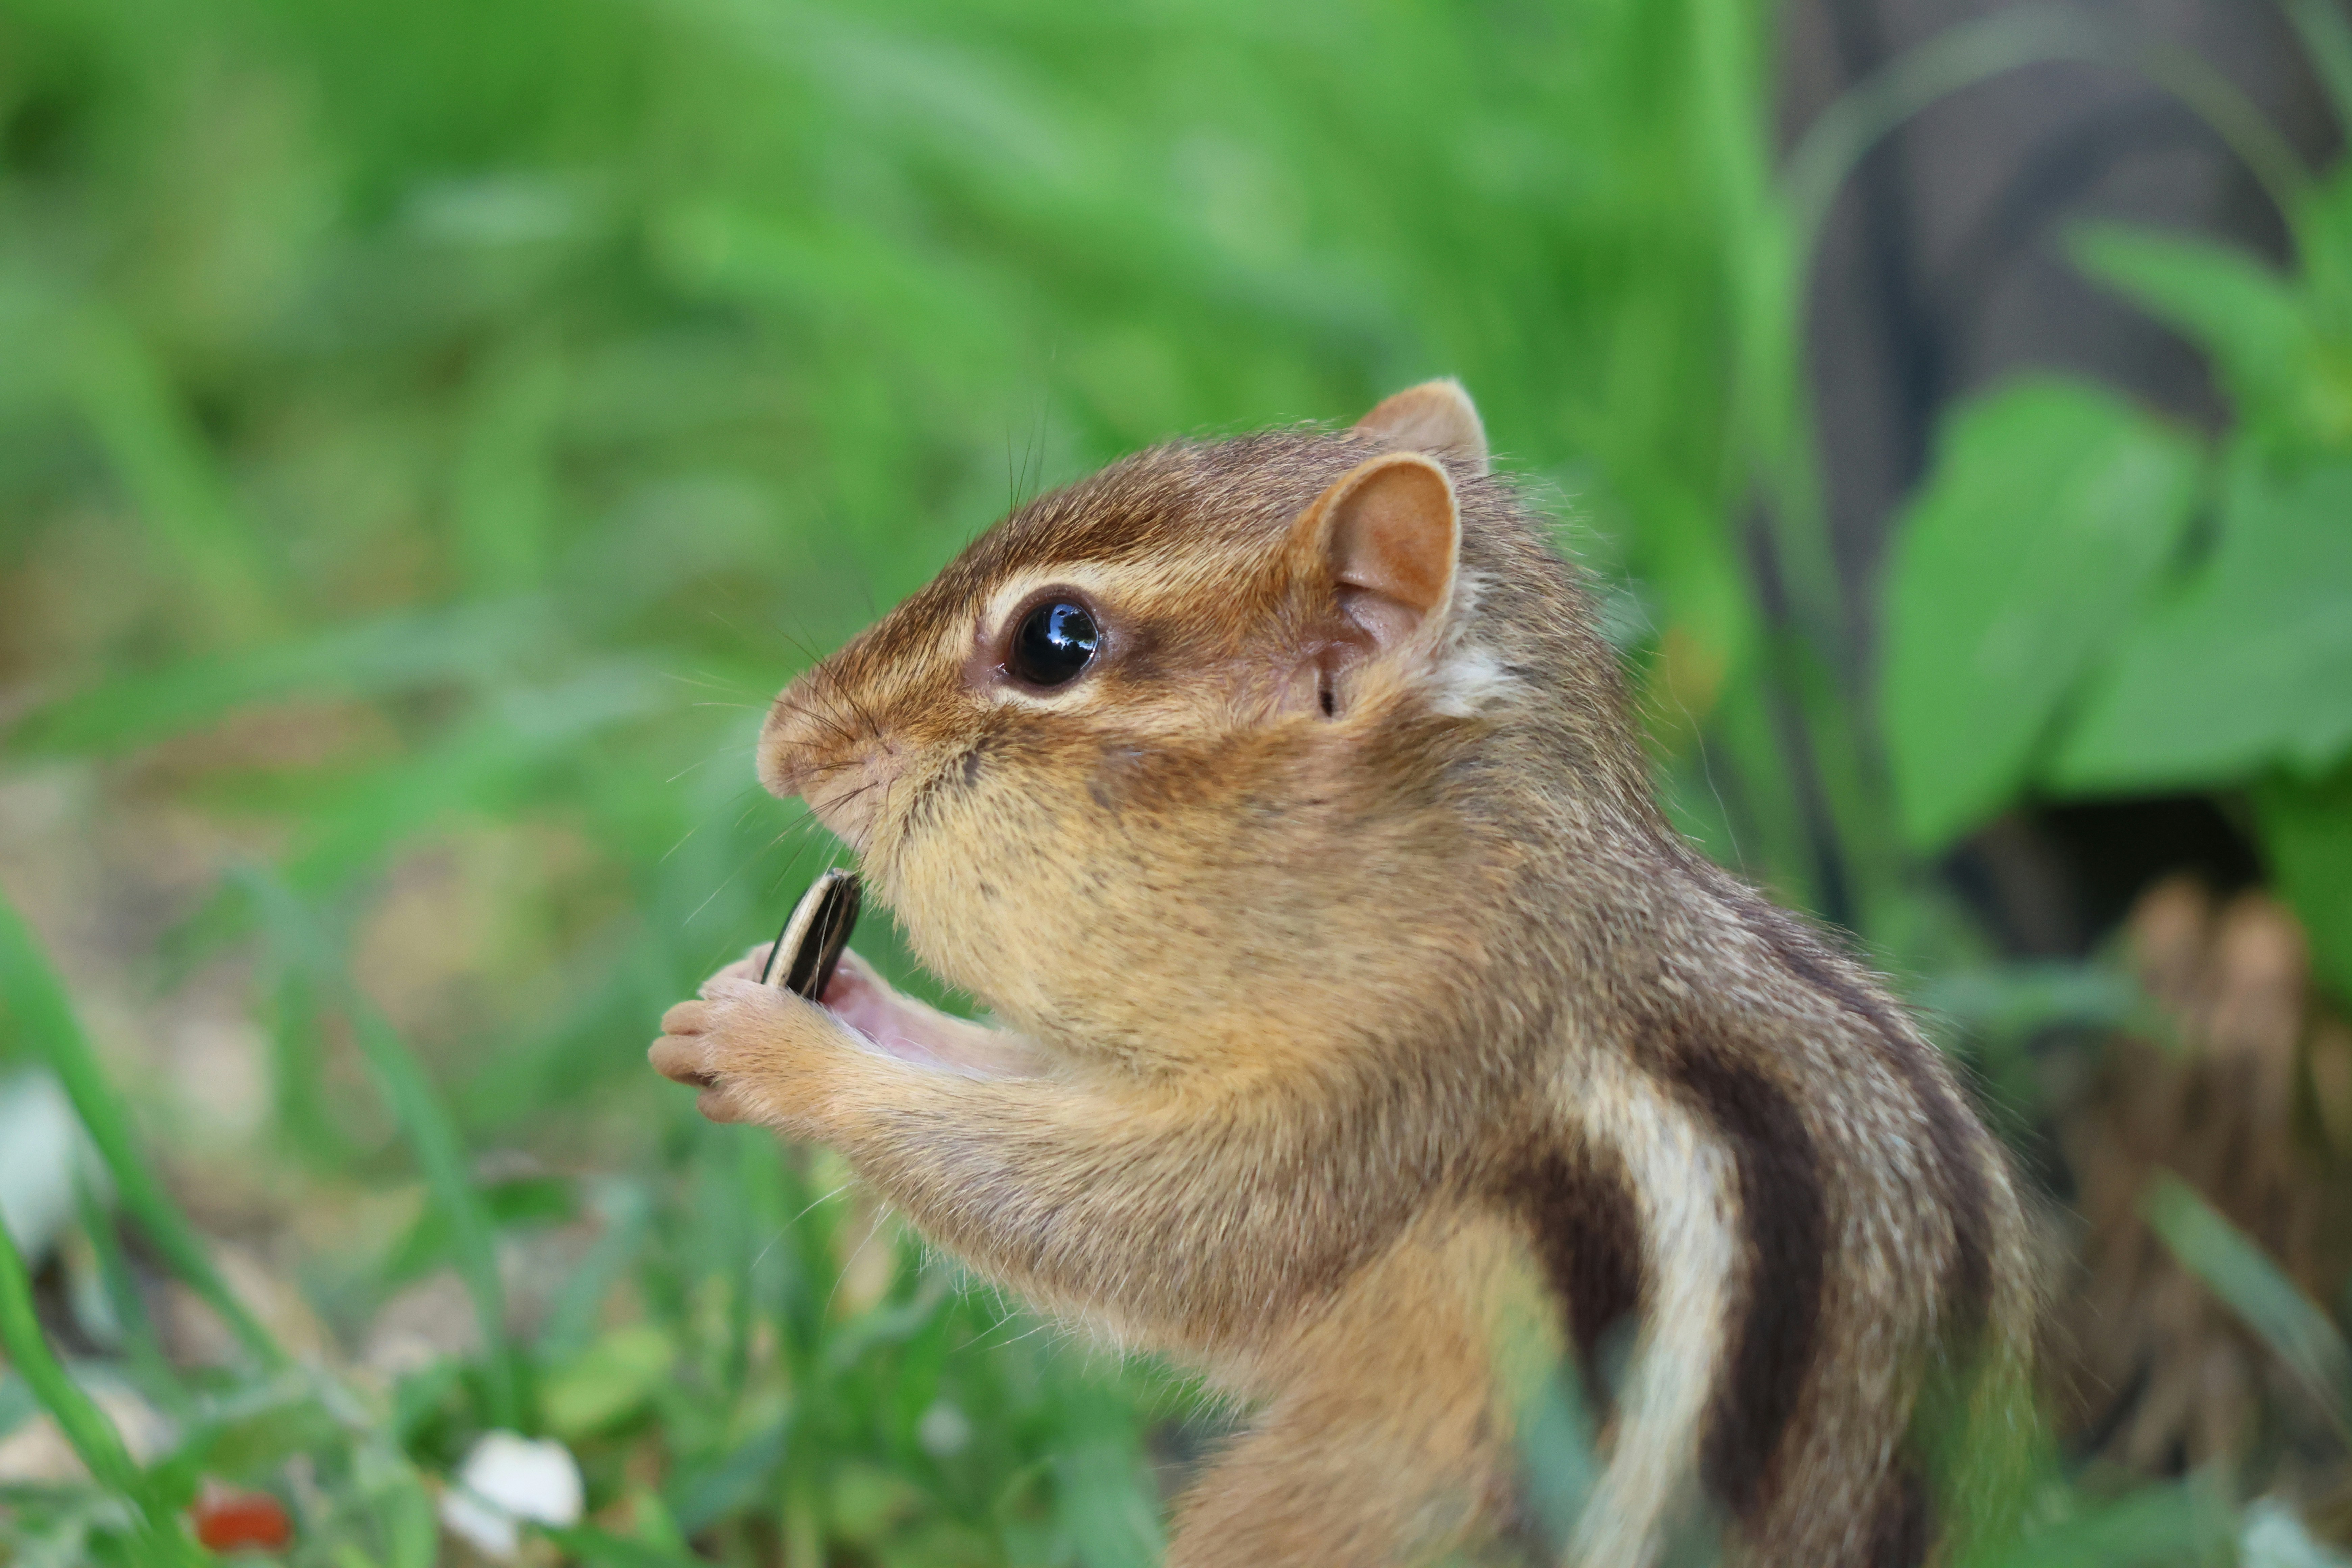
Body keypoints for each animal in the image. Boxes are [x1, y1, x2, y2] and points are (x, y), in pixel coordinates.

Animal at [653, 381, 2037, 1567]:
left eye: (1055, 639)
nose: (781, 740)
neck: (1462, 888)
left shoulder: (1382, 1098)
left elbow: (1126, 1228)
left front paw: (780, 1049)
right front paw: (796, 992)